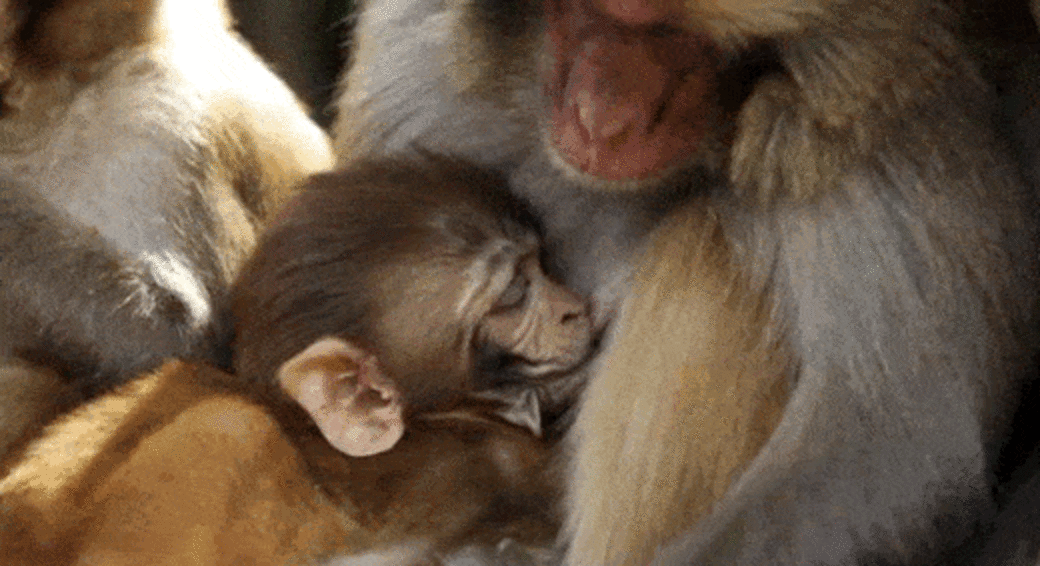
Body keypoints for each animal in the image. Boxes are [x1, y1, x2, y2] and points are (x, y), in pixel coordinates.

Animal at [334, 0, 1040, 563]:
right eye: (585, 11)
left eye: (668, 31)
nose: (600, 119)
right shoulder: (413, 56)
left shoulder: (867, 130)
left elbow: (895, 450)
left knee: (701, 252)